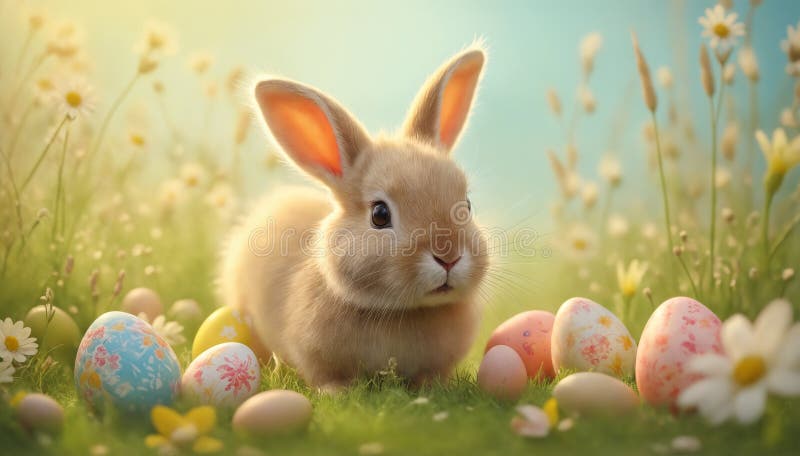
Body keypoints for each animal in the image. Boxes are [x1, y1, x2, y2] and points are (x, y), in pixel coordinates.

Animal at [220, 45, 489, 390]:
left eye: (466, 206)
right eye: (380, 214)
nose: (449, 257)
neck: (401, 311)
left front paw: (429, 388)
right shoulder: (313, 353)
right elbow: (324, 375)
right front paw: (337, 392)